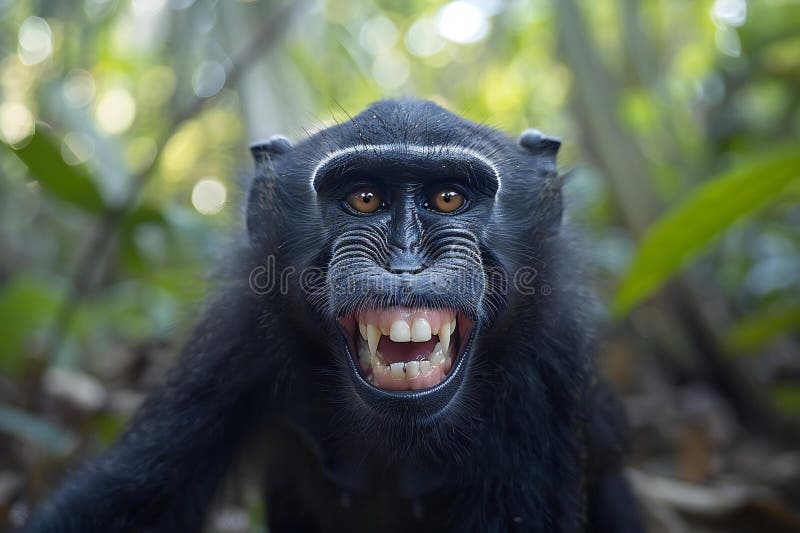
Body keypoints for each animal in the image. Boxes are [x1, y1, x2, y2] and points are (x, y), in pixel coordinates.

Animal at [24, 99, 643, 532]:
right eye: (364, 198)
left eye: (448, 198)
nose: (405, 259)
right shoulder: (232, 341)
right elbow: (130, 501)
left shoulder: (546, 366)